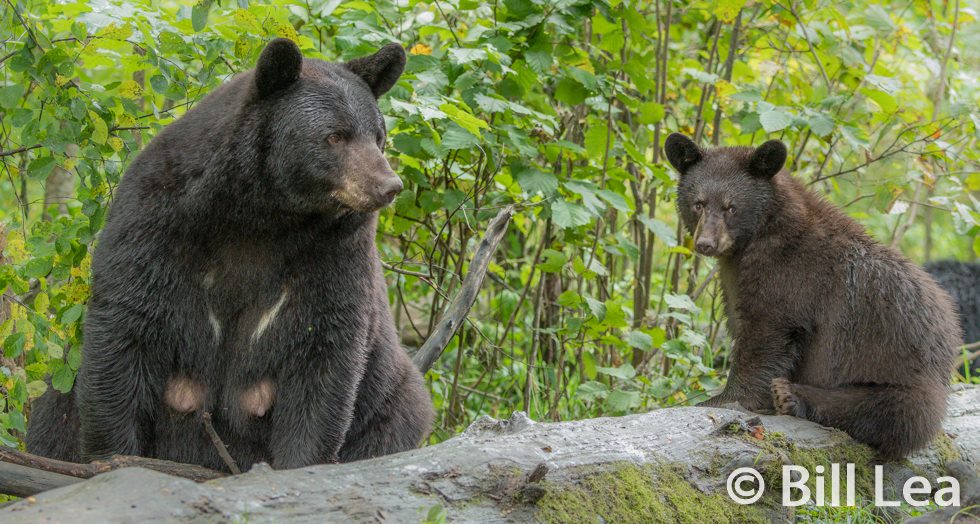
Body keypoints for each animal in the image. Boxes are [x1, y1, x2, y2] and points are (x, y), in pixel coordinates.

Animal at [26, 38, 434, 470]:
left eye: (378, 136)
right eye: (335, 136)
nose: (388, 184)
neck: (262, 214)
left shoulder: (336, 251)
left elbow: (325, 348)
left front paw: (301, 464)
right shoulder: (155, 222)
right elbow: (125, 328)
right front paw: (113, 458)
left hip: (392, 399)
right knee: (54, 413)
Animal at [664, 133, 961, 459]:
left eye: (732, 207)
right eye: (698, 204)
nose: (706, 243)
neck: (760, 233)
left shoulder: (789, 276)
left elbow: (765, 335)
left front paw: (722, 400)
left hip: (907, 374)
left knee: (895, 414)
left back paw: (791, 396)